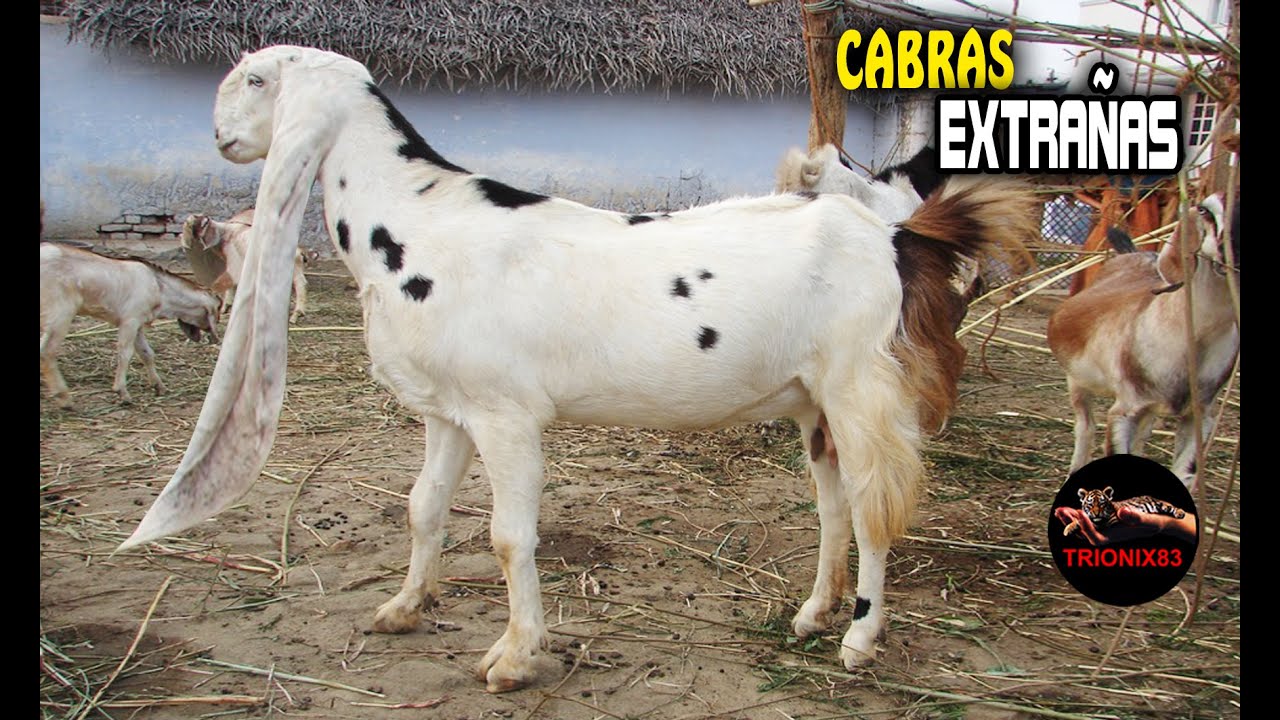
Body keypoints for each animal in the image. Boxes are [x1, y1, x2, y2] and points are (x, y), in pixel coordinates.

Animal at [40, 243, 221, 408]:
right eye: (217, 311)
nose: (213, 337)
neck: (160, 288)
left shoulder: (138, 324)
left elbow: (147, 353)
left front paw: (159, 386)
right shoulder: (130, 320)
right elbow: (125, 353)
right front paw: (122, 392)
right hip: (62, 313)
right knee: (47, 351)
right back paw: (64, 398)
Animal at [1047, 193, 1239, 488]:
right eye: (1206, 210)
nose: (1230, 248)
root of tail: (1133, 254)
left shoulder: (1200, 415)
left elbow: (1184, 472)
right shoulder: (1123, 411)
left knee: (1142, 433)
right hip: (1077, 382)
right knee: (1085, 426)